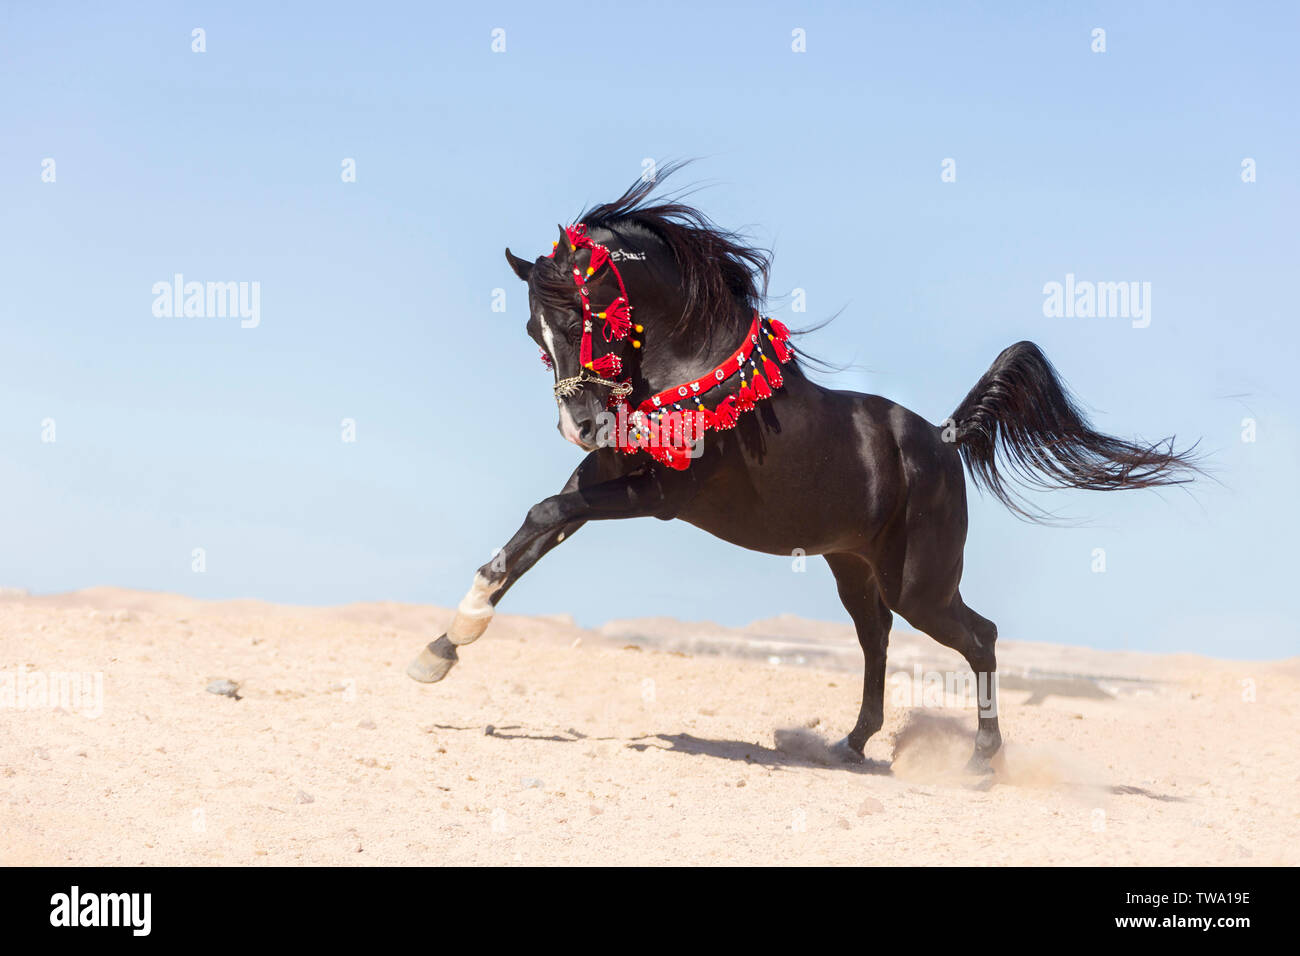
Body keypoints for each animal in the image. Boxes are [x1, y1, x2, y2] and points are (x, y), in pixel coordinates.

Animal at [406, 169, 1200, 771]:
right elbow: (537, 531)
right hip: (855, 569)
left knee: (981, 637)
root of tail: (943, 440)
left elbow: (546, 513)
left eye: (583, 318)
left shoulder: (661, 492)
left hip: (923, 583)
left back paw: (981, 760)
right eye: (533, 330)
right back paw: (852, 743)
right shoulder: (607, 472)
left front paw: (445, 642)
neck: (693, 366)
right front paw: (443, 647)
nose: (579, 424)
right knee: (878, 639)